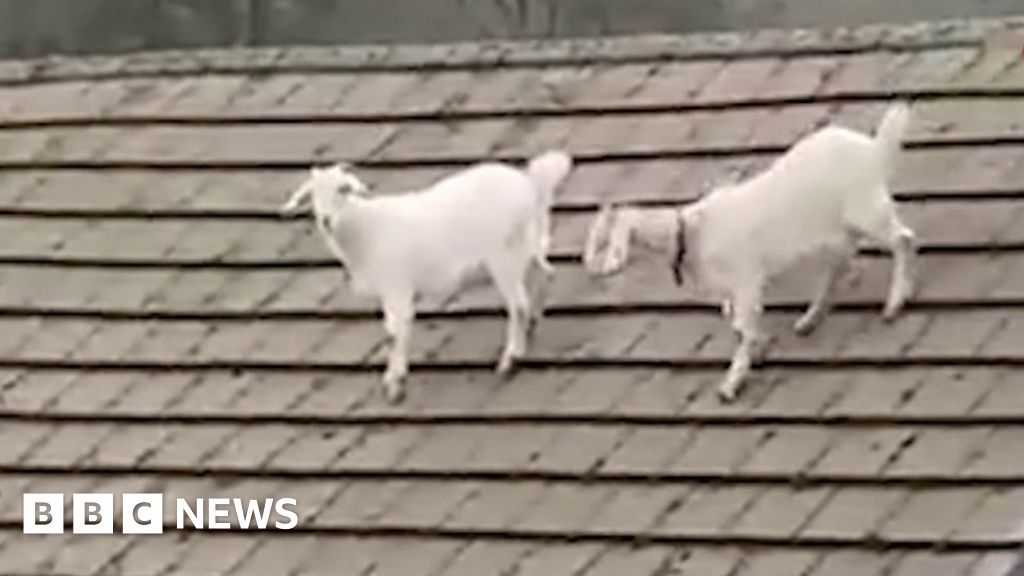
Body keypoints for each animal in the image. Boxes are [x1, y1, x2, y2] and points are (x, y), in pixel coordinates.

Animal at [281, 151, 573, 403]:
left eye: (343, 189)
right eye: (312, 194)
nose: (326, 220)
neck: (364, 229)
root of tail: (530, 186)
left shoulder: (396, 286)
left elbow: (394, 332)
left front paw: (395, 382)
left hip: (503, 256)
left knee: (518, 304)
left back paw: (512, 357)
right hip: (529, 245)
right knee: (544, 275)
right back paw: (532, 324)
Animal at [584, 103, 916, 402]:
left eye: (605, 241)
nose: (595, 269)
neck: (693, 233)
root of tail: (873, 149)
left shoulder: (745, 280)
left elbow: (744, 329)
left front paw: (732, 384)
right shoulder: (738, 290)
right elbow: (743, 328)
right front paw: (757, 350)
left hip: (867, 209)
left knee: (903, 240)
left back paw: (894, 303)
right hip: (831, 235)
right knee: (839, 266)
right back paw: (809, 319)